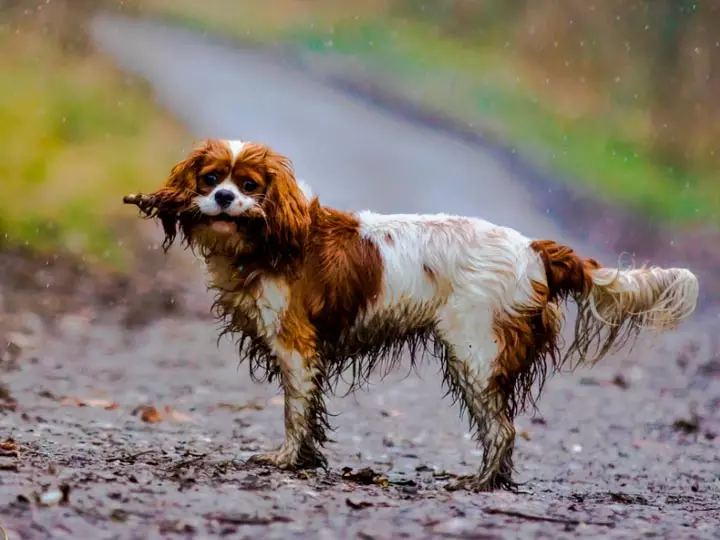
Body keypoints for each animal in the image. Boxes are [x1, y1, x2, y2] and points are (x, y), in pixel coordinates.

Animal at [124, 139, 696, 494]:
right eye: (210, 178)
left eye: (249, 185)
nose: (223, 197)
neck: (267, 241)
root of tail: (533, 248)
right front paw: (305, 459)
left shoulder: (296, 346)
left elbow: (294, 411)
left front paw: (287, 460)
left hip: (474, 354)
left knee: (502, 429)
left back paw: (479, 484)